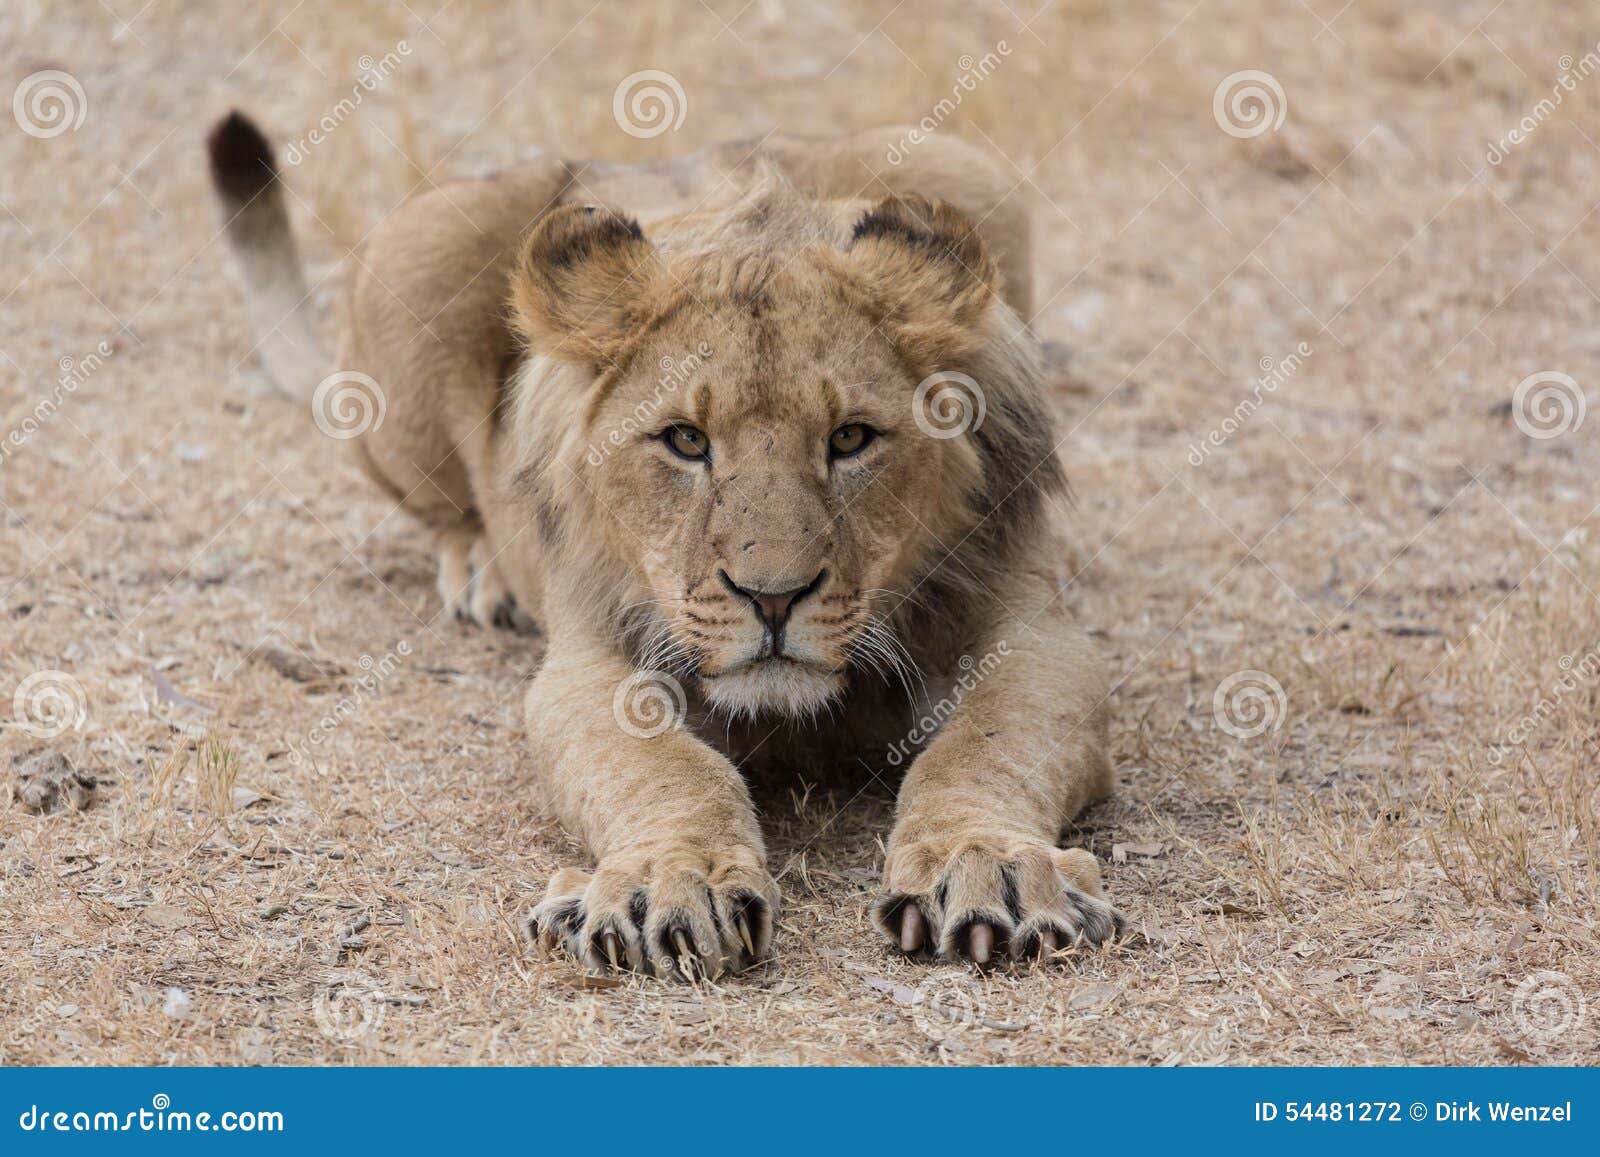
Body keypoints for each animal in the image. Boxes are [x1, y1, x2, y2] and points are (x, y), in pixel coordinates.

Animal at [207, 110, 1121, 978]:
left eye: (851, 437)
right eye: (686, 440)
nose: (773, 599)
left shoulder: (1032, 632)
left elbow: (988, 743)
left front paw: (990, 864)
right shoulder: (588, 659)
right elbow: (660, 766)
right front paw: (668, 883)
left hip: (958, 168)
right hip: (415, 265)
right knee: (448, 509)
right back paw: (482, 573)